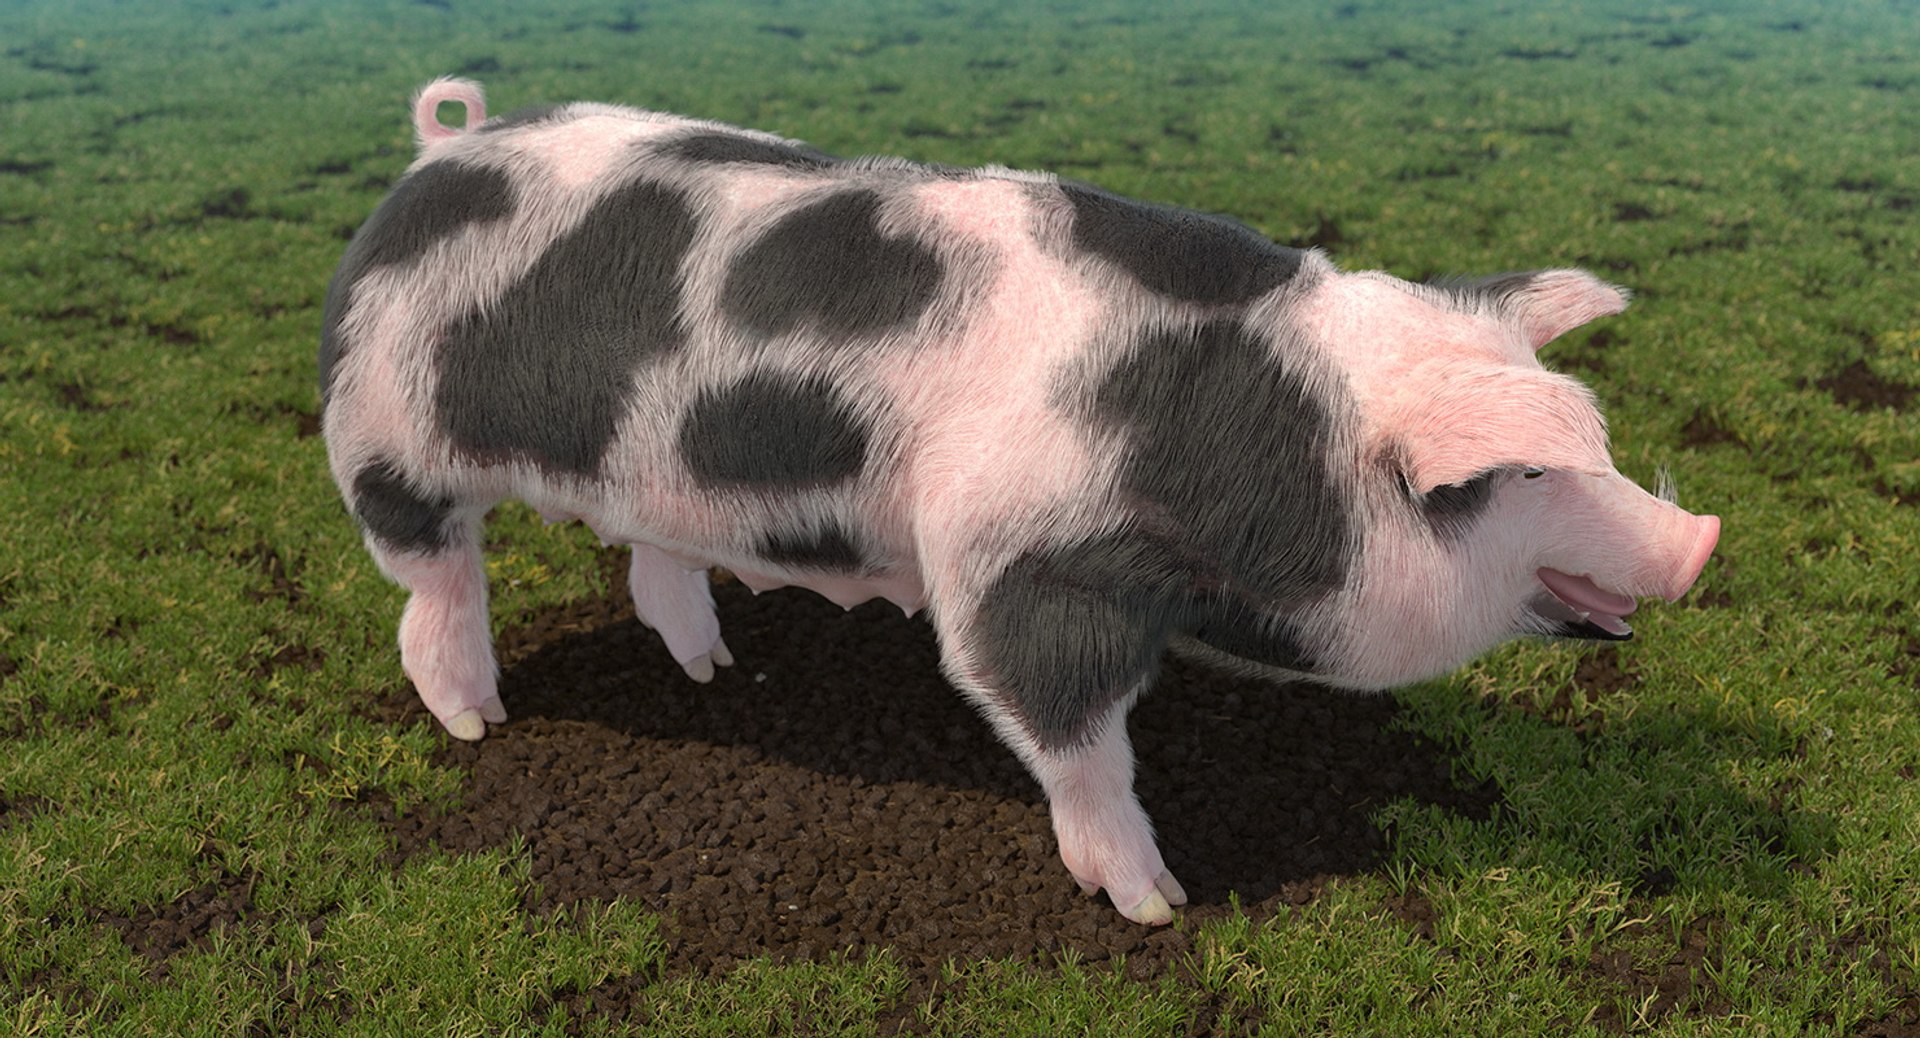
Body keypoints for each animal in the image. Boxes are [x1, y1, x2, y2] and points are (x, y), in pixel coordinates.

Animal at [319, 77, 1720, 926]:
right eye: (1518, 474)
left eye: (1594, 441)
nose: (1703, 540)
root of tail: (439, 150)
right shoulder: (1017, 568)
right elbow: (1067, 731)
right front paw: (1155, 902)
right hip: (386, 441)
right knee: (434, 584)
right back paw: (479, 722)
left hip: (650, 475)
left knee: (655, 553)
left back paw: (711, 671)